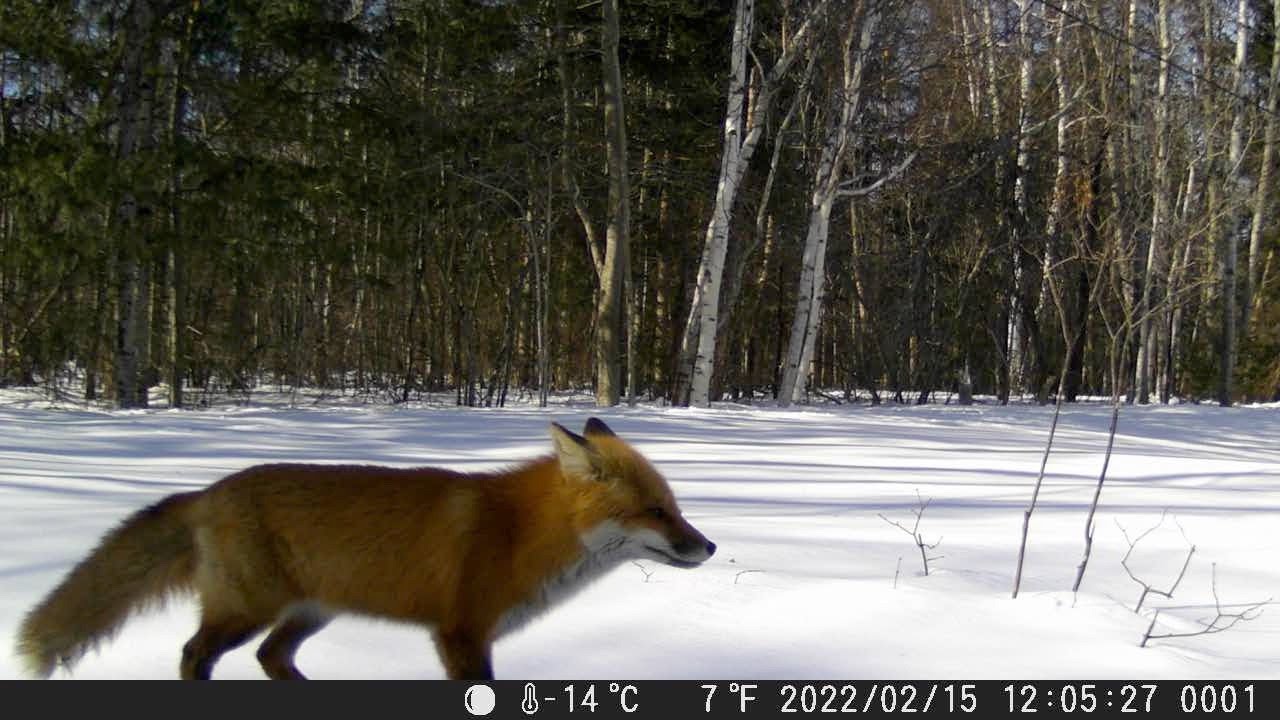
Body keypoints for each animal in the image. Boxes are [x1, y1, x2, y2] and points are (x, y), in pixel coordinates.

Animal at [16, 417, 715, 680]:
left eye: (674, 506)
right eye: (656, 511)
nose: (708, 547)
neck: (520, 531)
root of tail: (209, 489)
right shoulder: (462, 633)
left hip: (309, 613)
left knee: (271, 657)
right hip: (247, 609)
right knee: (195, 654)